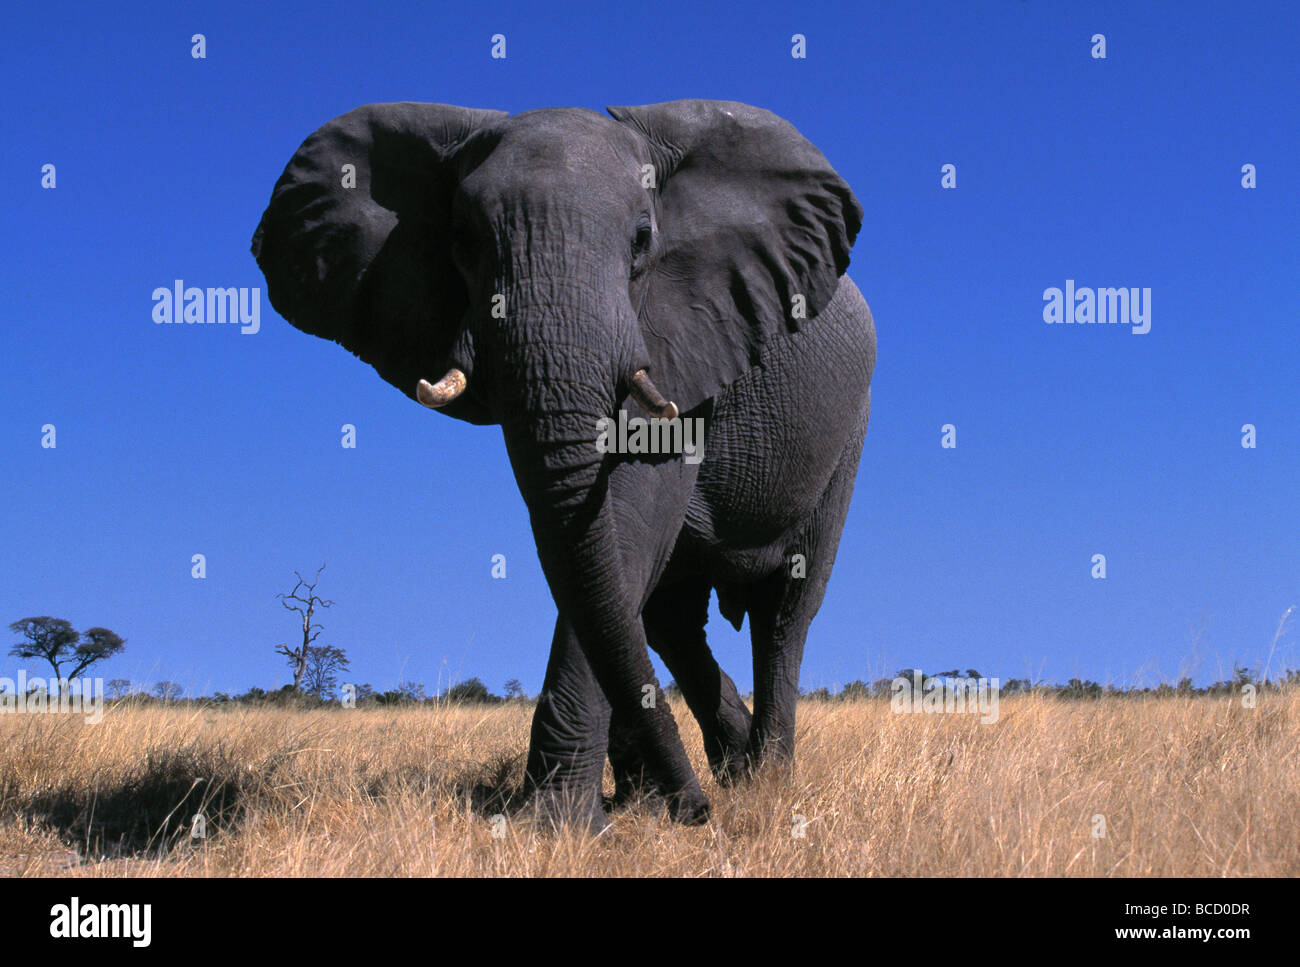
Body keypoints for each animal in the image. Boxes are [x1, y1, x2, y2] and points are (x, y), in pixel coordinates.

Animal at [251, 99, 875, 830]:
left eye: (642, 240)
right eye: (461, 239)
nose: (698, 813)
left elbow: (625, 519)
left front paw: (555, 826)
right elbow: (596, 547)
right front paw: (611, 816)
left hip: (849, 433)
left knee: (785, 609)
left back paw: (762, 781)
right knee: (667, 614)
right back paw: (720, 773)